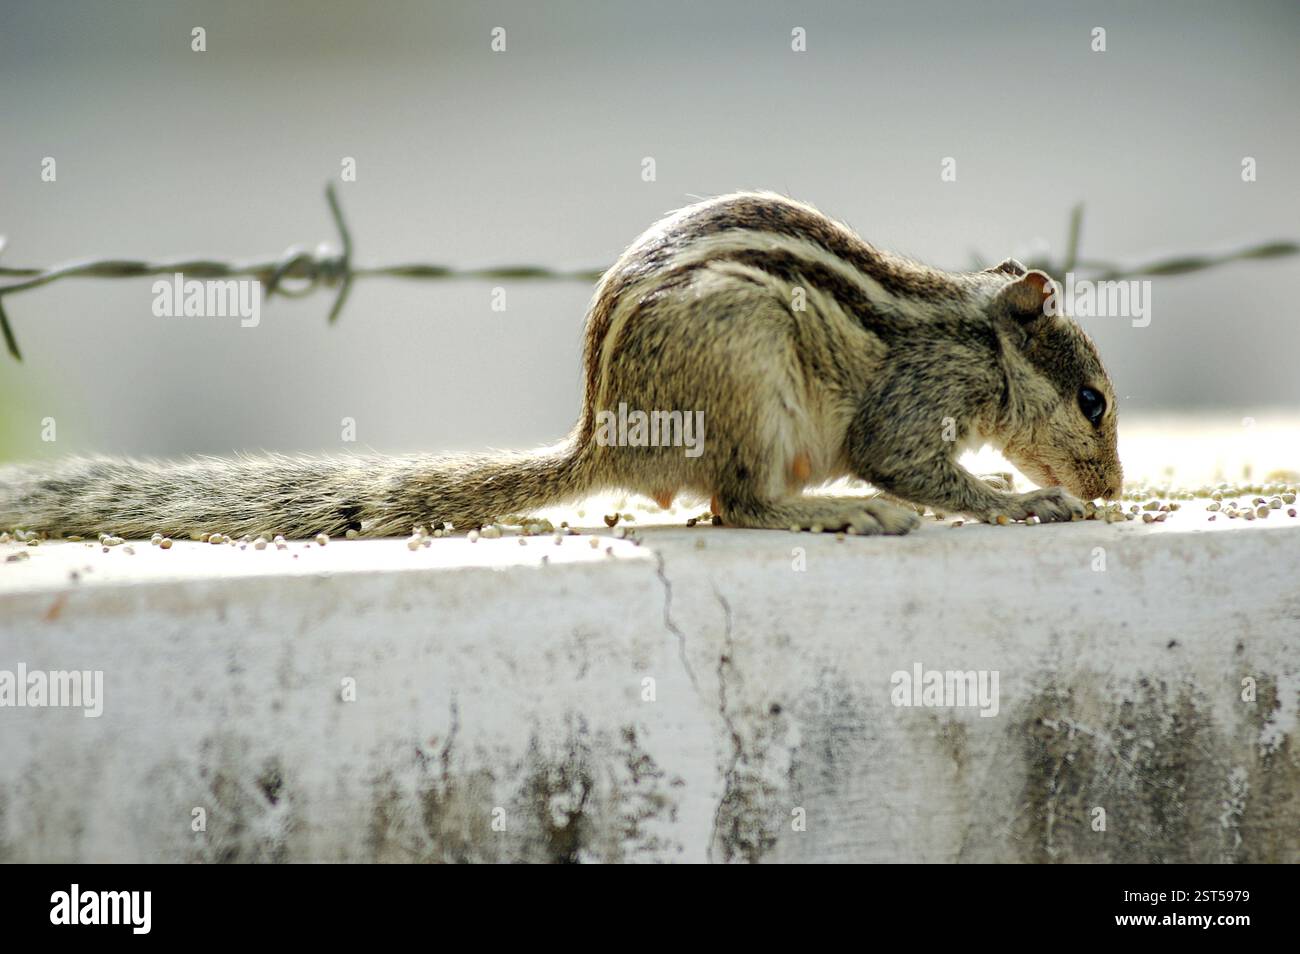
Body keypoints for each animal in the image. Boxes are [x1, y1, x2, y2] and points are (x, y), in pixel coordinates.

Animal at [0, 192, 1121, 539]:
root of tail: (603, 438)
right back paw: (839, 512)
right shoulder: (912, 403)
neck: (976, 336)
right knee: (740, 506)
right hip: (746, 372)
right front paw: (1025, 500)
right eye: (1092, 402)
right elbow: (913, 465)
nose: (1114, 489)